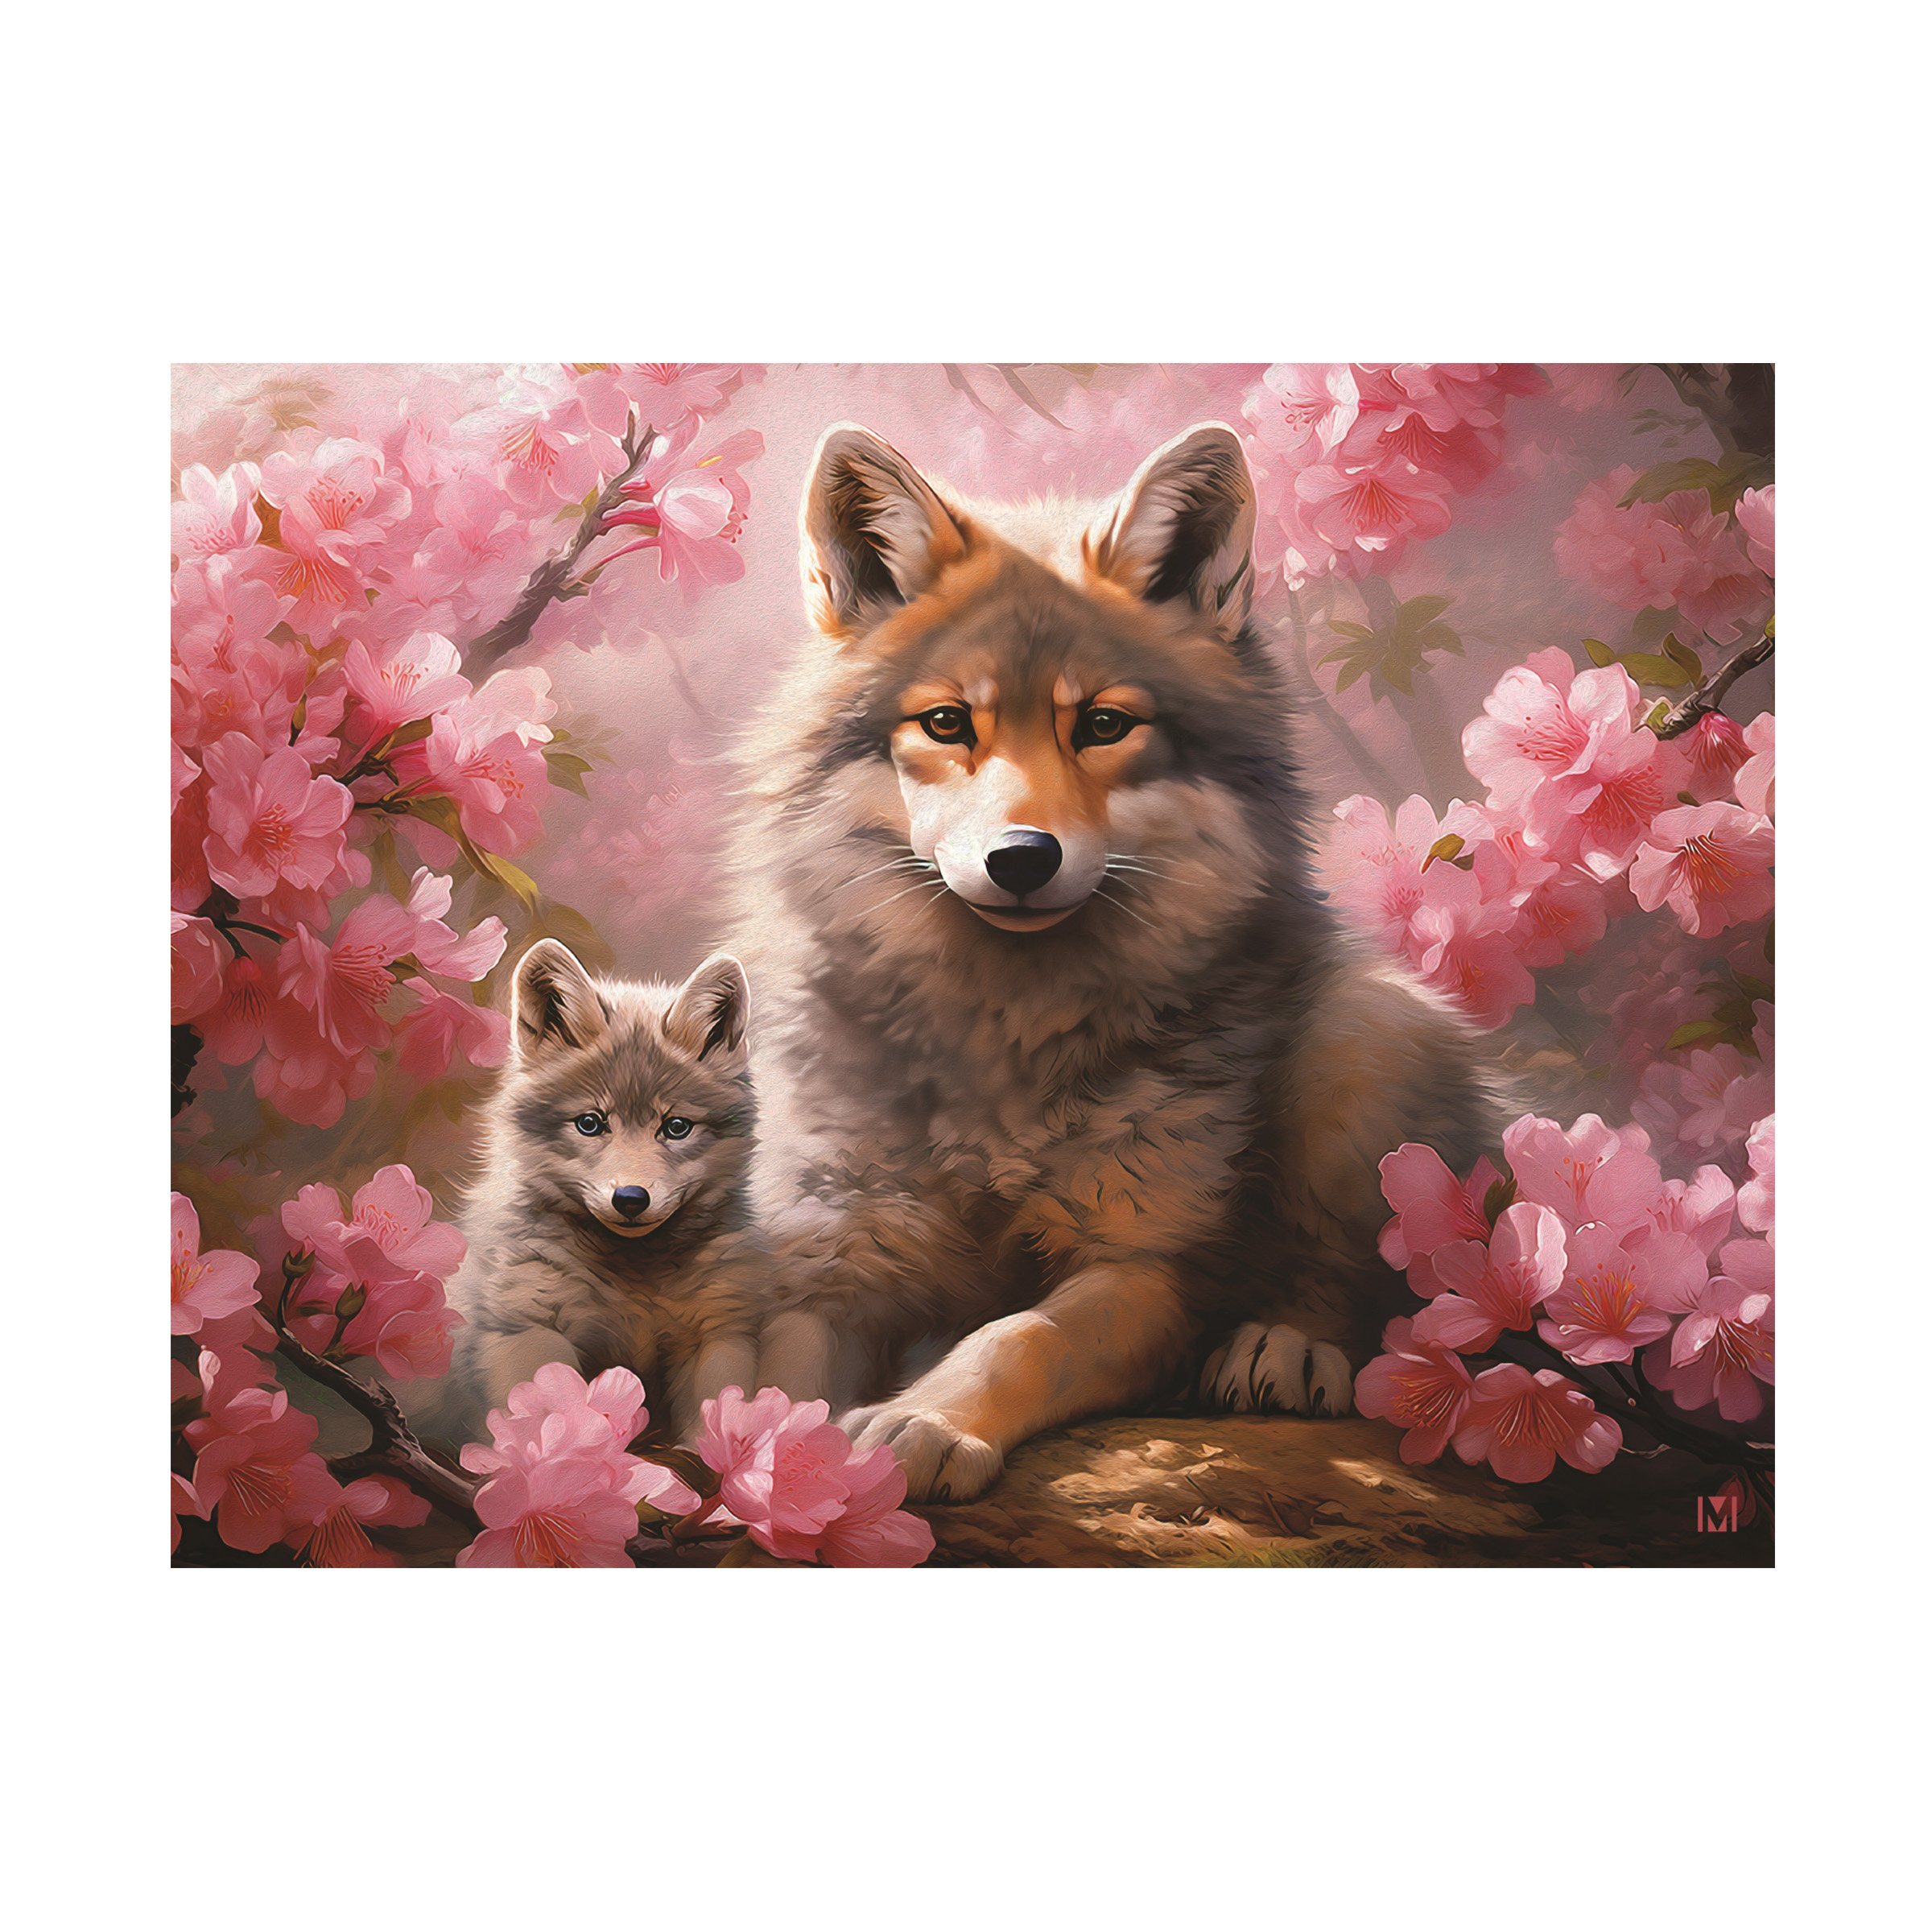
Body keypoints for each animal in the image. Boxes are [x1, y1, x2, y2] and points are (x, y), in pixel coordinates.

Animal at [405, 938, 764, 1448]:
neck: (636, 1280)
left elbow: (707, 1440)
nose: (631, 1199)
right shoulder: (531, 1331)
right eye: (590, 1124)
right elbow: (556, 1423)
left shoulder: (718, 1335)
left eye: (676, 1127)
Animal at [720, 419, 1511, 1503]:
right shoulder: (835, 1255)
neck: (999, 1041)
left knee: (1373, 1281)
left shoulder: (1147, 1266)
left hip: (1366, 1033)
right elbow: (780, 1375)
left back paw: (1285, 1348)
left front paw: (923, 1422)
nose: (1021, 860)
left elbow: (1016, 1337)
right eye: (947, 723)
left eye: (1101, 724)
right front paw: (772, 1465)